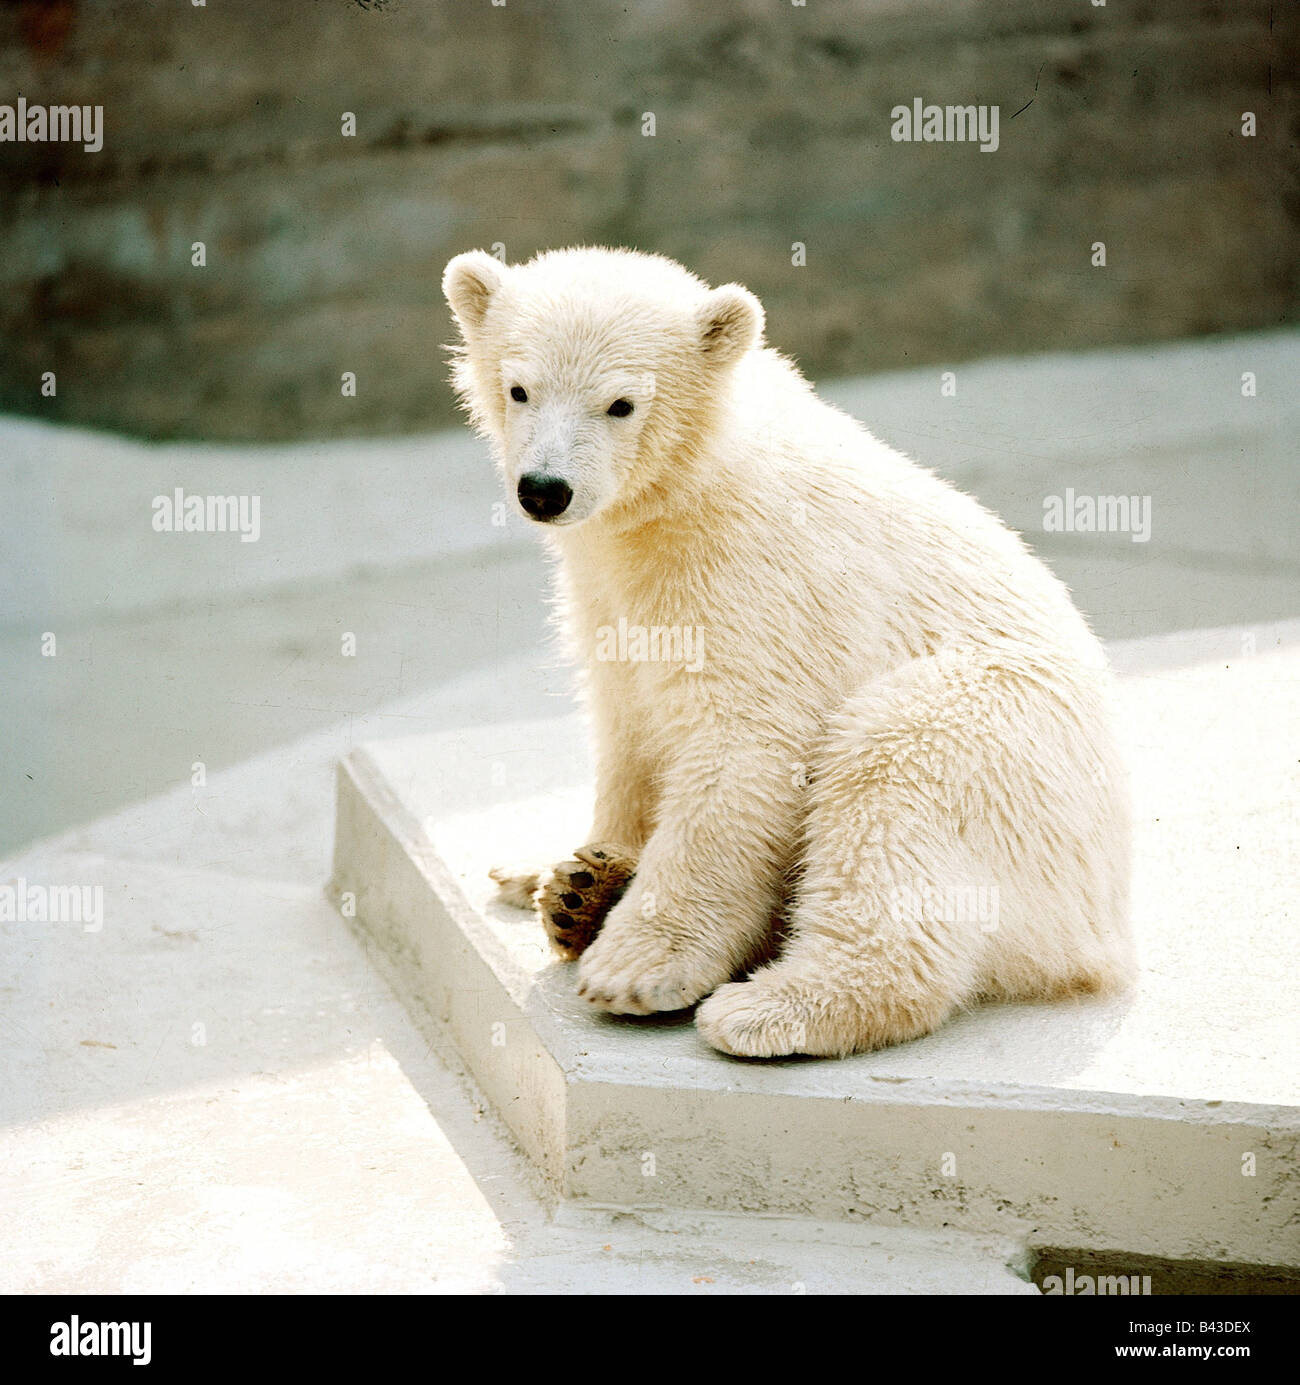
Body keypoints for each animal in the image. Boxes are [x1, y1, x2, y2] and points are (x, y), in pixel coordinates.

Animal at [442, 245, 1135, 1059]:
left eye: (622, 404)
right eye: (519, 388)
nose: (545, 490)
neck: (695, 483)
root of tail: (1105, 928)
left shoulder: (758, 584)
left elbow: (744, 748)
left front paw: (639, 965)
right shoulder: (609, 594)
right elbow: (628, 729)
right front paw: (574, 868)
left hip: (1005, 750)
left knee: (895, 783)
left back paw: (769, 1008)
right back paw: (578, 897)